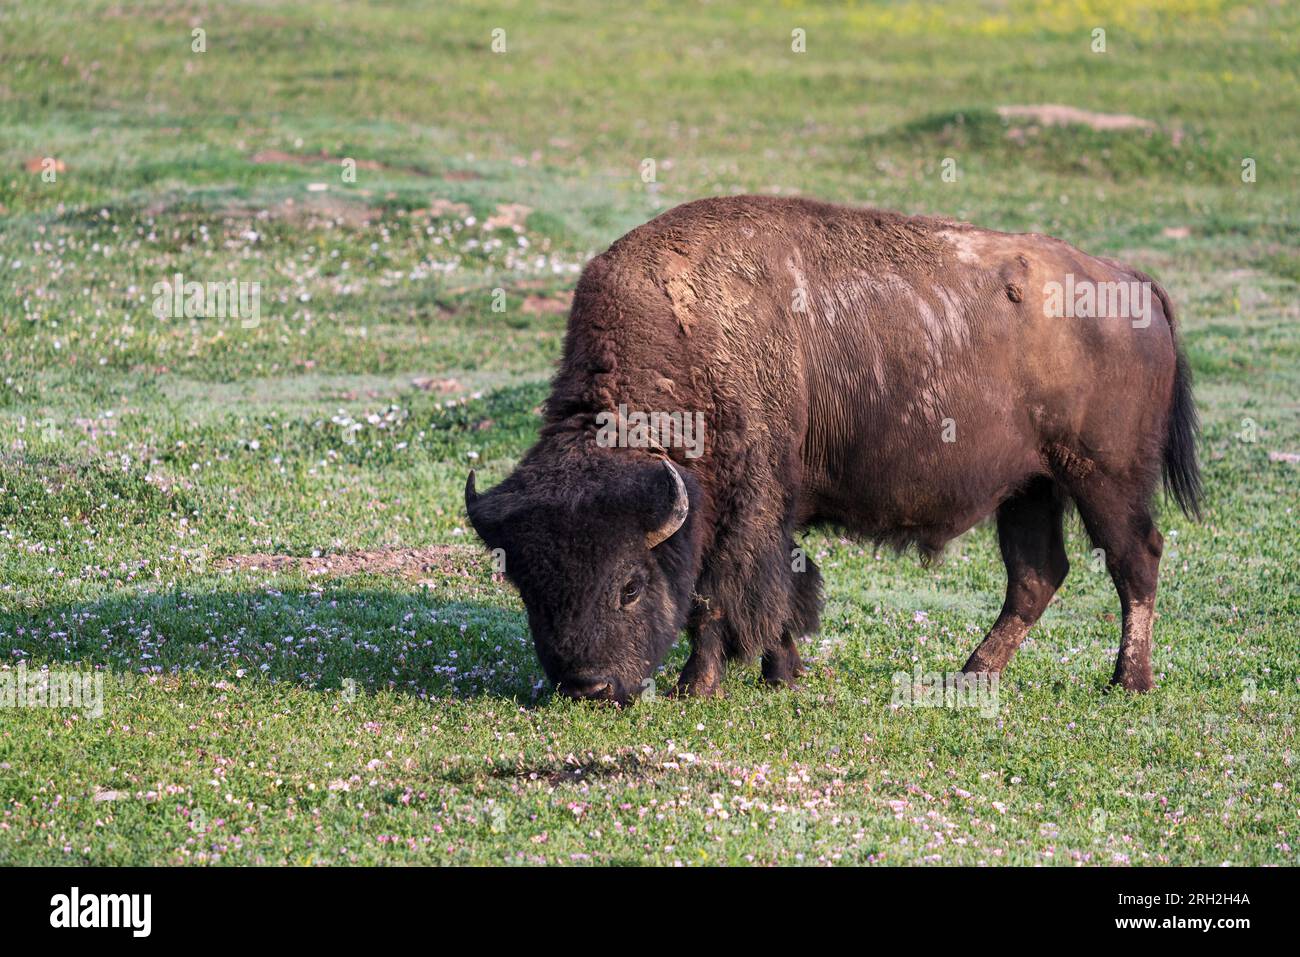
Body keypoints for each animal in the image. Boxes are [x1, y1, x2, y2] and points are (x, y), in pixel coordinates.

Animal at [466, 195, 1200, 703]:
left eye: (629, 585)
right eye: (526, 585)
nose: (586, 686)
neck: (687, 343)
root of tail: (1132, 282)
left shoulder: (743, 512)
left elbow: (720, 596)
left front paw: (695, 686)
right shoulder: (773, 515)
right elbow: (784, 592)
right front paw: (783, 674)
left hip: (1104, 478)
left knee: (1135, 560)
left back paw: (1127, 681)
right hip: (1030, 488)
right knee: (1037, 574)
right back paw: (970, 675)